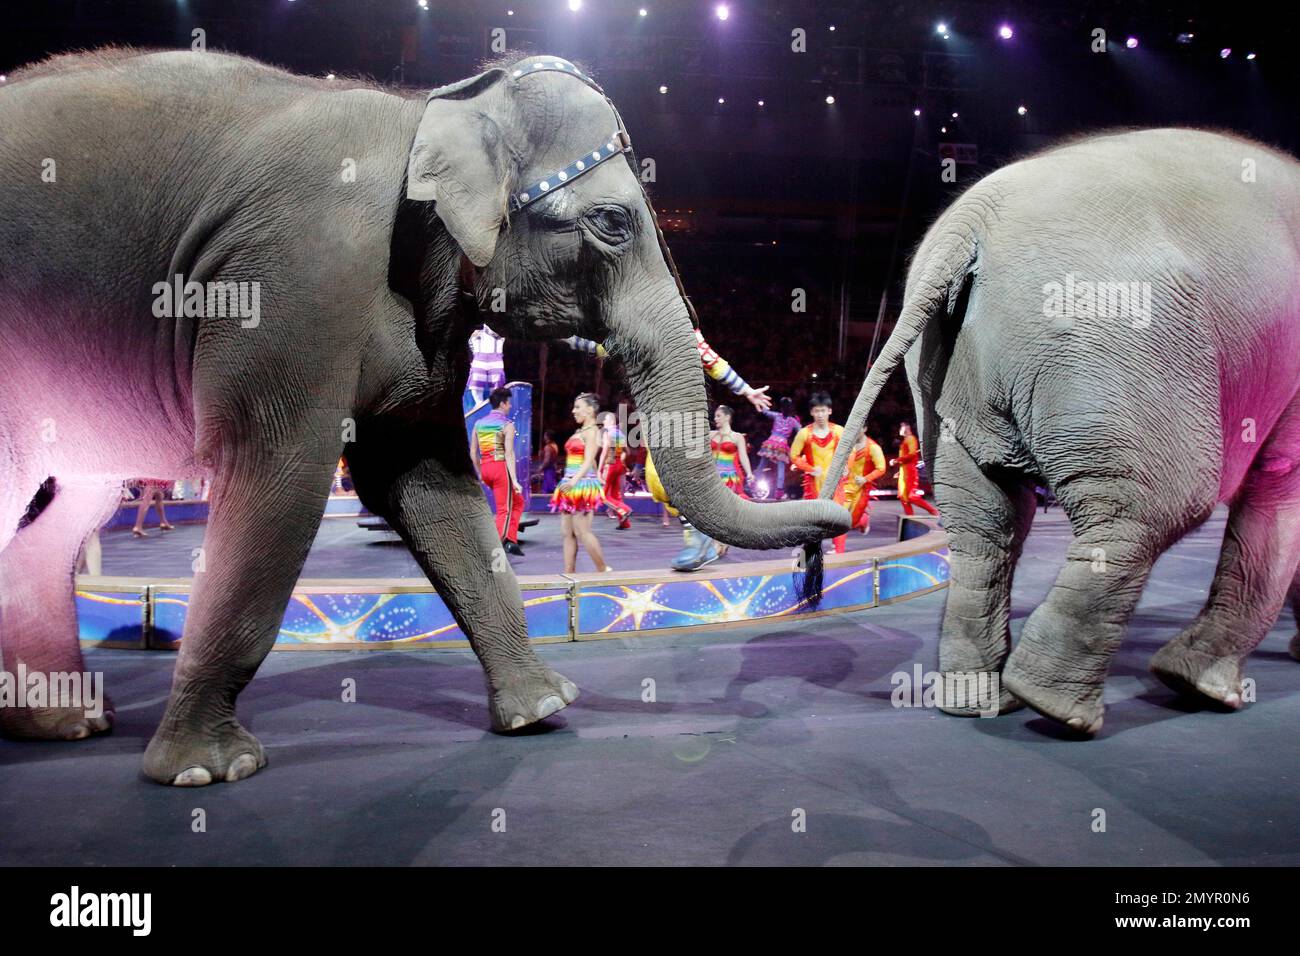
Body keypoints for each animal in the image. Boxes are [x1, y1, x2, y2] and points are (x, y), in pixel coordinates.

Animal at [0, 49, 850, 784]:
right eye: (612, 222)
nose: (838, 518)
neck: (436, 106)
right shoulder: (295, 280)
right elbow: (281, 475)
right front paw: (208, 768)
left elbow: (427, 479)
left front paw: (542, 708)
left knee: (73, 504)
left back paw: (62, 722)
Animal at [821, 128, 1300, 734]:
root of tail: (971, 225)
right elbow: (1279, 493)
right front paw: (1211, 688)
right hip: (1121, 344)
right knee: (1154, 507)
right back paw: (1061, 708)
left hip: (944, 379)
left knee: (985, 521)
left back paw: (978, 701)